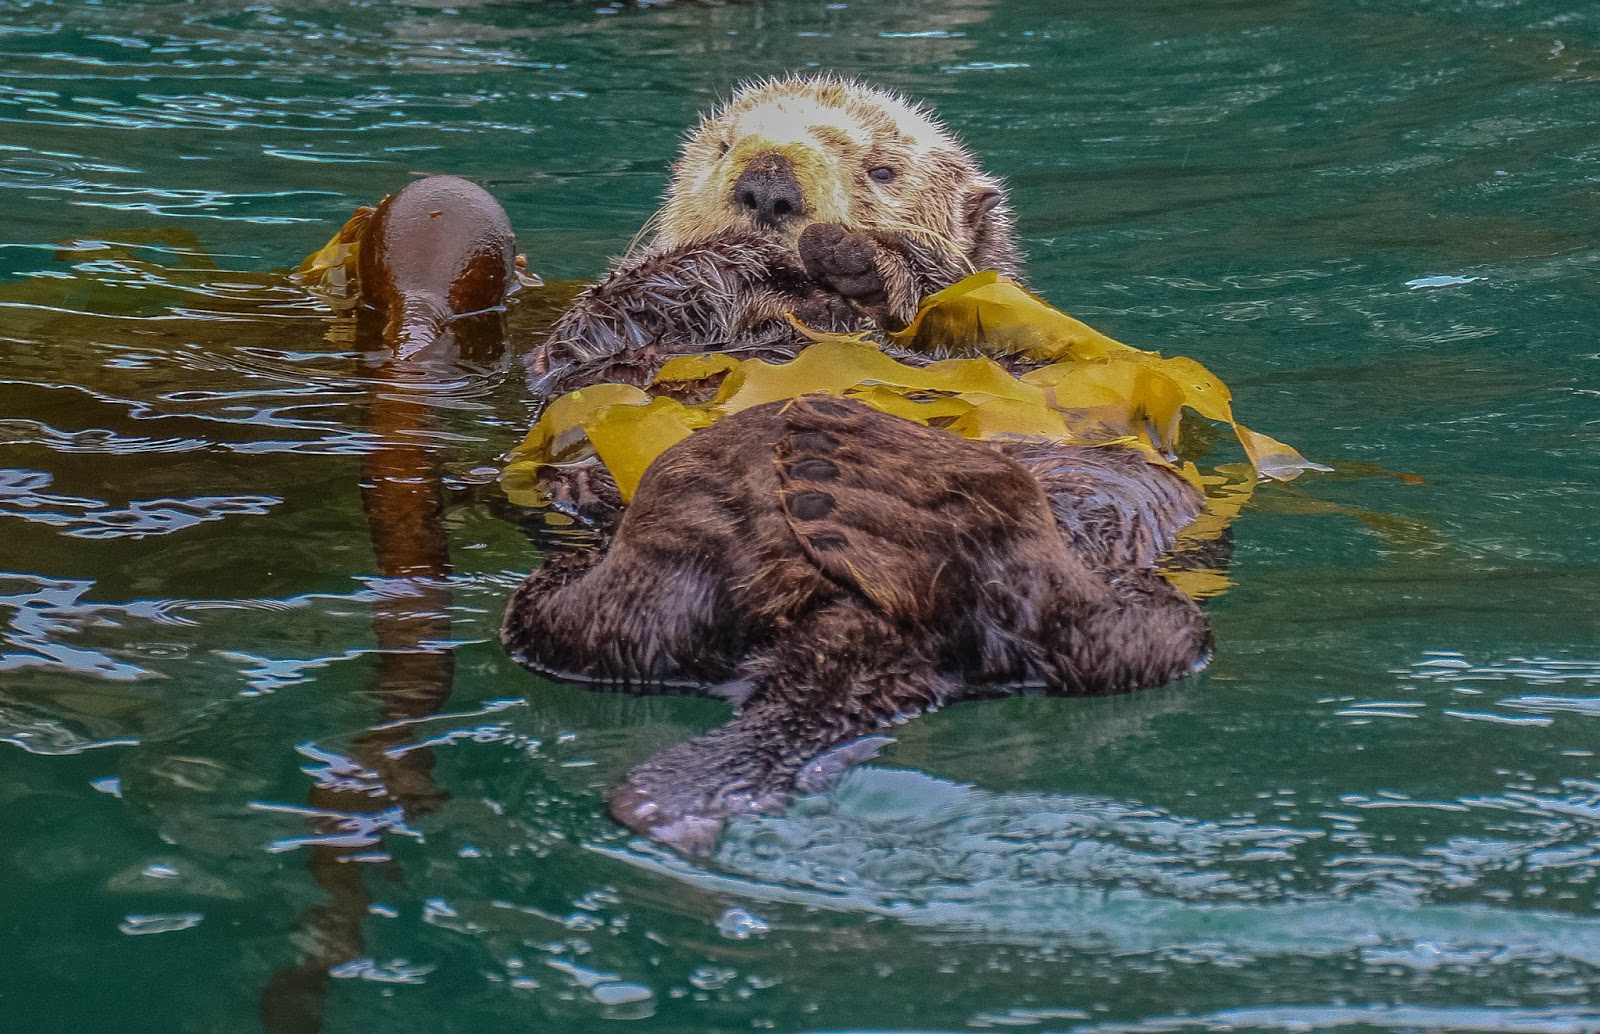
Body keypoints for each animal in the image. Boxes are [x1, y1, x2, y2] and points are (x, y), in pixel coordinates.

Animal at [527, 76, 1022, 395]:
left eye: (883, 171)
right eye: (722, 148)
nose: (767, 185)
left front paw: (867, 264)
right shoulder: (566, 361)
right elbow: (585, 334)